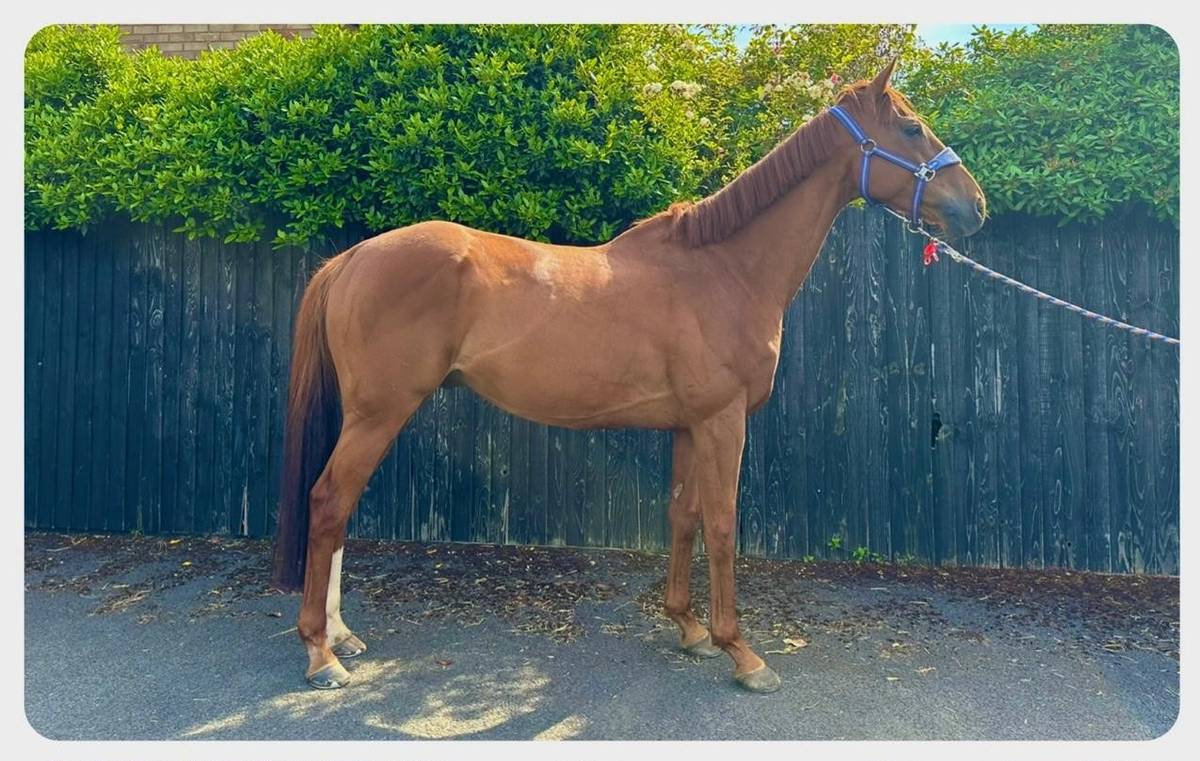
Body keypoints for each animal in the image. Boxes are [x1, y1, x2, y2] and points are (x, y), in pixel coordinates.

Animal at [270, 60, 986, 693]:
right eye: (912, 129)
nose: (974, 207)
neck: (724, 270)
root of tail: (353, 257)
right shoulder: (723, 420)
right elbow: (722, 524)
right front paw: (743, 653)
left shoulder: (690, 425)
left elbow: (683, 515)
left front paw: (689, 628)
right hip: (381, 411)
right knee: (329, 501)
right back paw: (320, 654)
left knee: (337, 507)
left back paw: (340, 636)